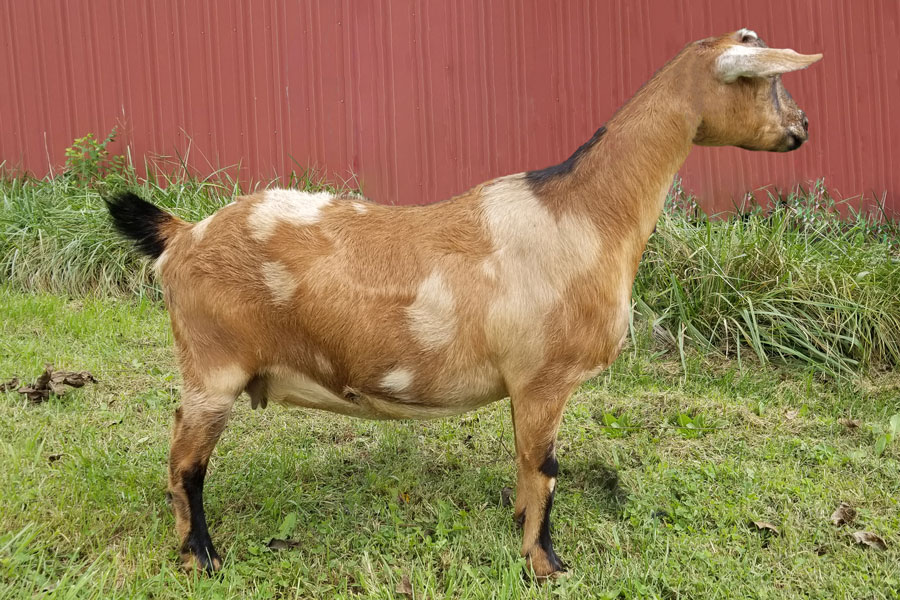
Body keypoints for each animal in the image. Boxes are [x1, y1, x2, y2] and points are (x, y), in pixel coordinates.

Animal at [106, 29, 821, 578]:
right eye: (764, 80)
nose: (804, 127)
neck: (585, 212)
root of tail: (181, 234)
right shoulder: (545, 377)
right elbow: (546, 468)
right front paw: (546, 564)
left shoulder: (527, 387)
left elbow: (526, 468)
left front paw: (520, 529)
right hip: (213, 367)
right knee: (185, 464)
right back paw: (201, 557)